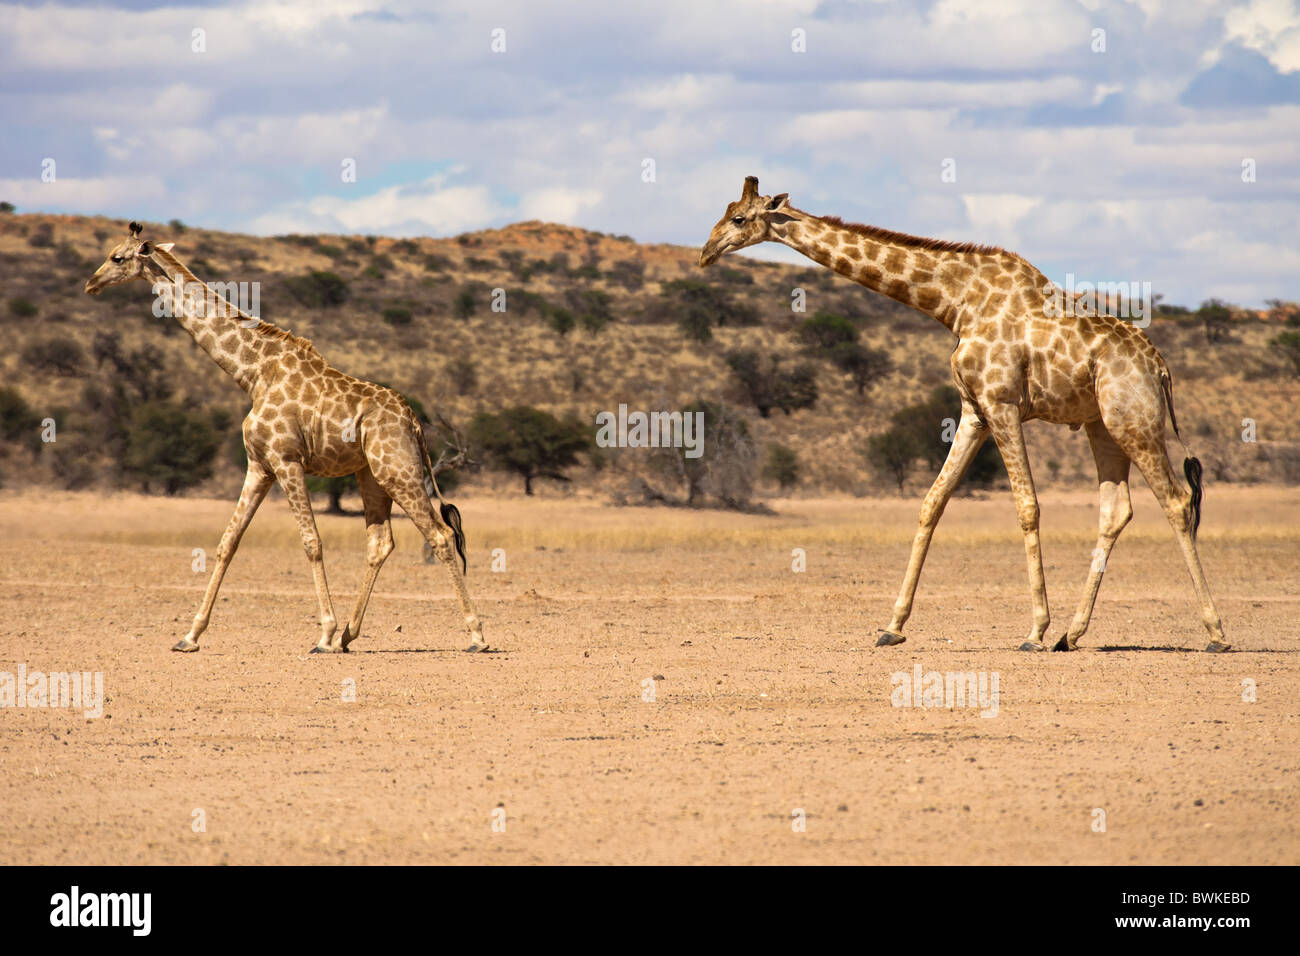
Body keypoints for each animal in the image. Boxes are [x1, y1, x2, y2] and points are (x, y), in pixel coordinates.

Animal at [84, 221, 488, 654]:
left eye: (117, 257)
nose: (91, 283)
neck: (253, 373)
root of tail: (414, 420)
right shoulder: (259, 465)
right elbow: (228, 541)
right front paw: (189, 636)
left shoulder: (287, 460)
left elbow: (312, 542)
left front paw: (323, 634)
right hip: (371, 474)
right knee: (381, 542)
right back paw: (349, 634)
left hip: (398, 469)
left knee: (442, 535)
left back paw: (476, 635)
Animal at [699, 177, 1229, 653]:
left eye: (739, 218)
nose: (705, 253)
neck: (955, 303)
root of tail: (1160, 368)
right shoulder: (973, 409)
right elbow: (932, 502)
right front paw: (892, 626)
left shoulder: (1002, 403)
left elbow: (1027, 506)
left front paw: (1034, 630)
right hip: (1102, 426)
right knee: (1116, 510)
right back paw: (1072, 635)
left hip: (1133, 420)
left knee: (1178, 502)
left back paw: (1214, 633)